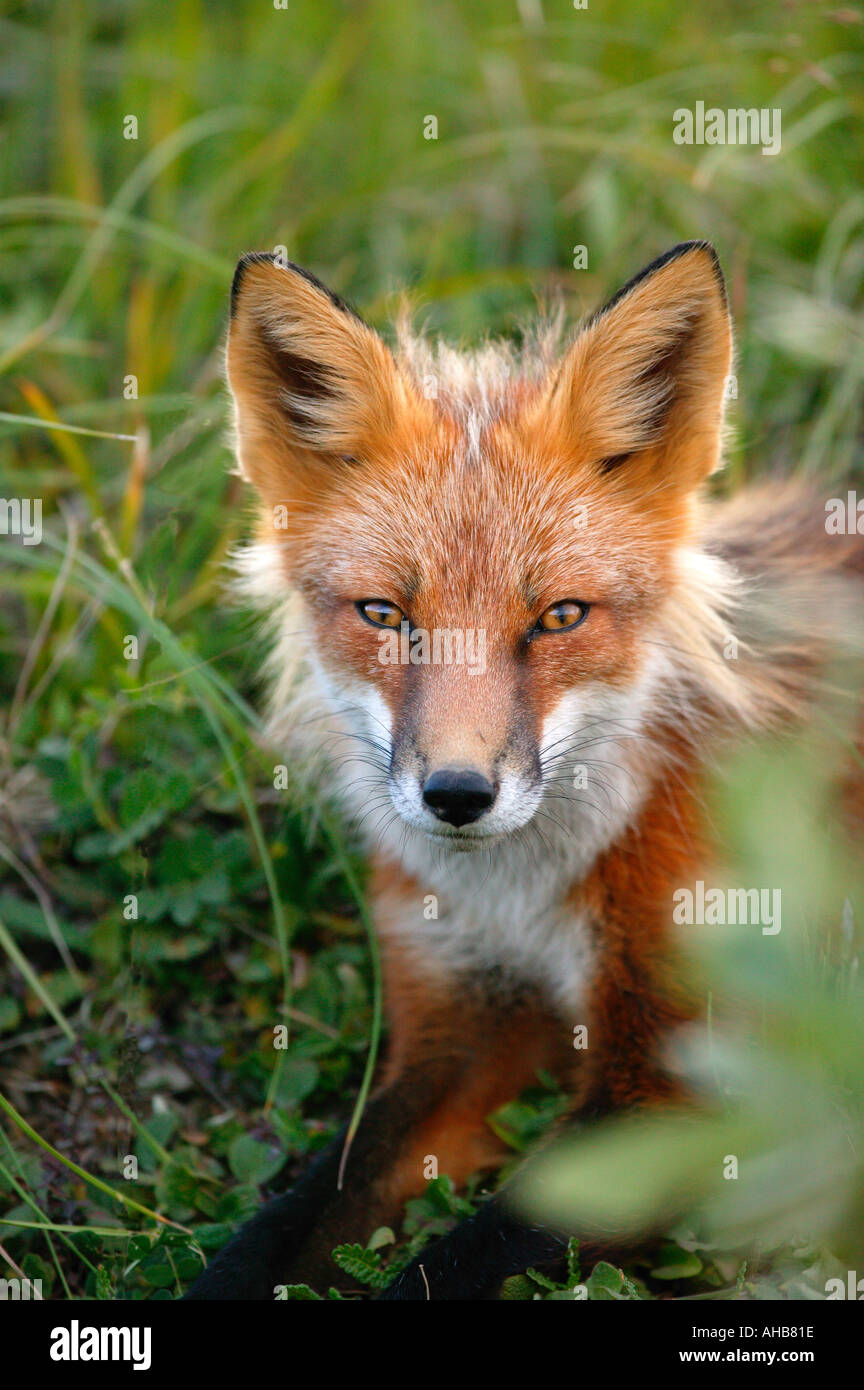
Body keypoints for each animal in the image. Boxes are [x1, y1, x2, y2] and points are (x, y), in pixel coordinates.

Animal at [185, 241, 864, 1300]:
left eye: (559, 618)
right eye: (385, 615)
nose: (458, 797)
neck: (525, 898)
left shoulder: (691, 1077)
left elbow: (465, 1258)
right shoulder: (458, 1020)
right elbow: (285, 1223)